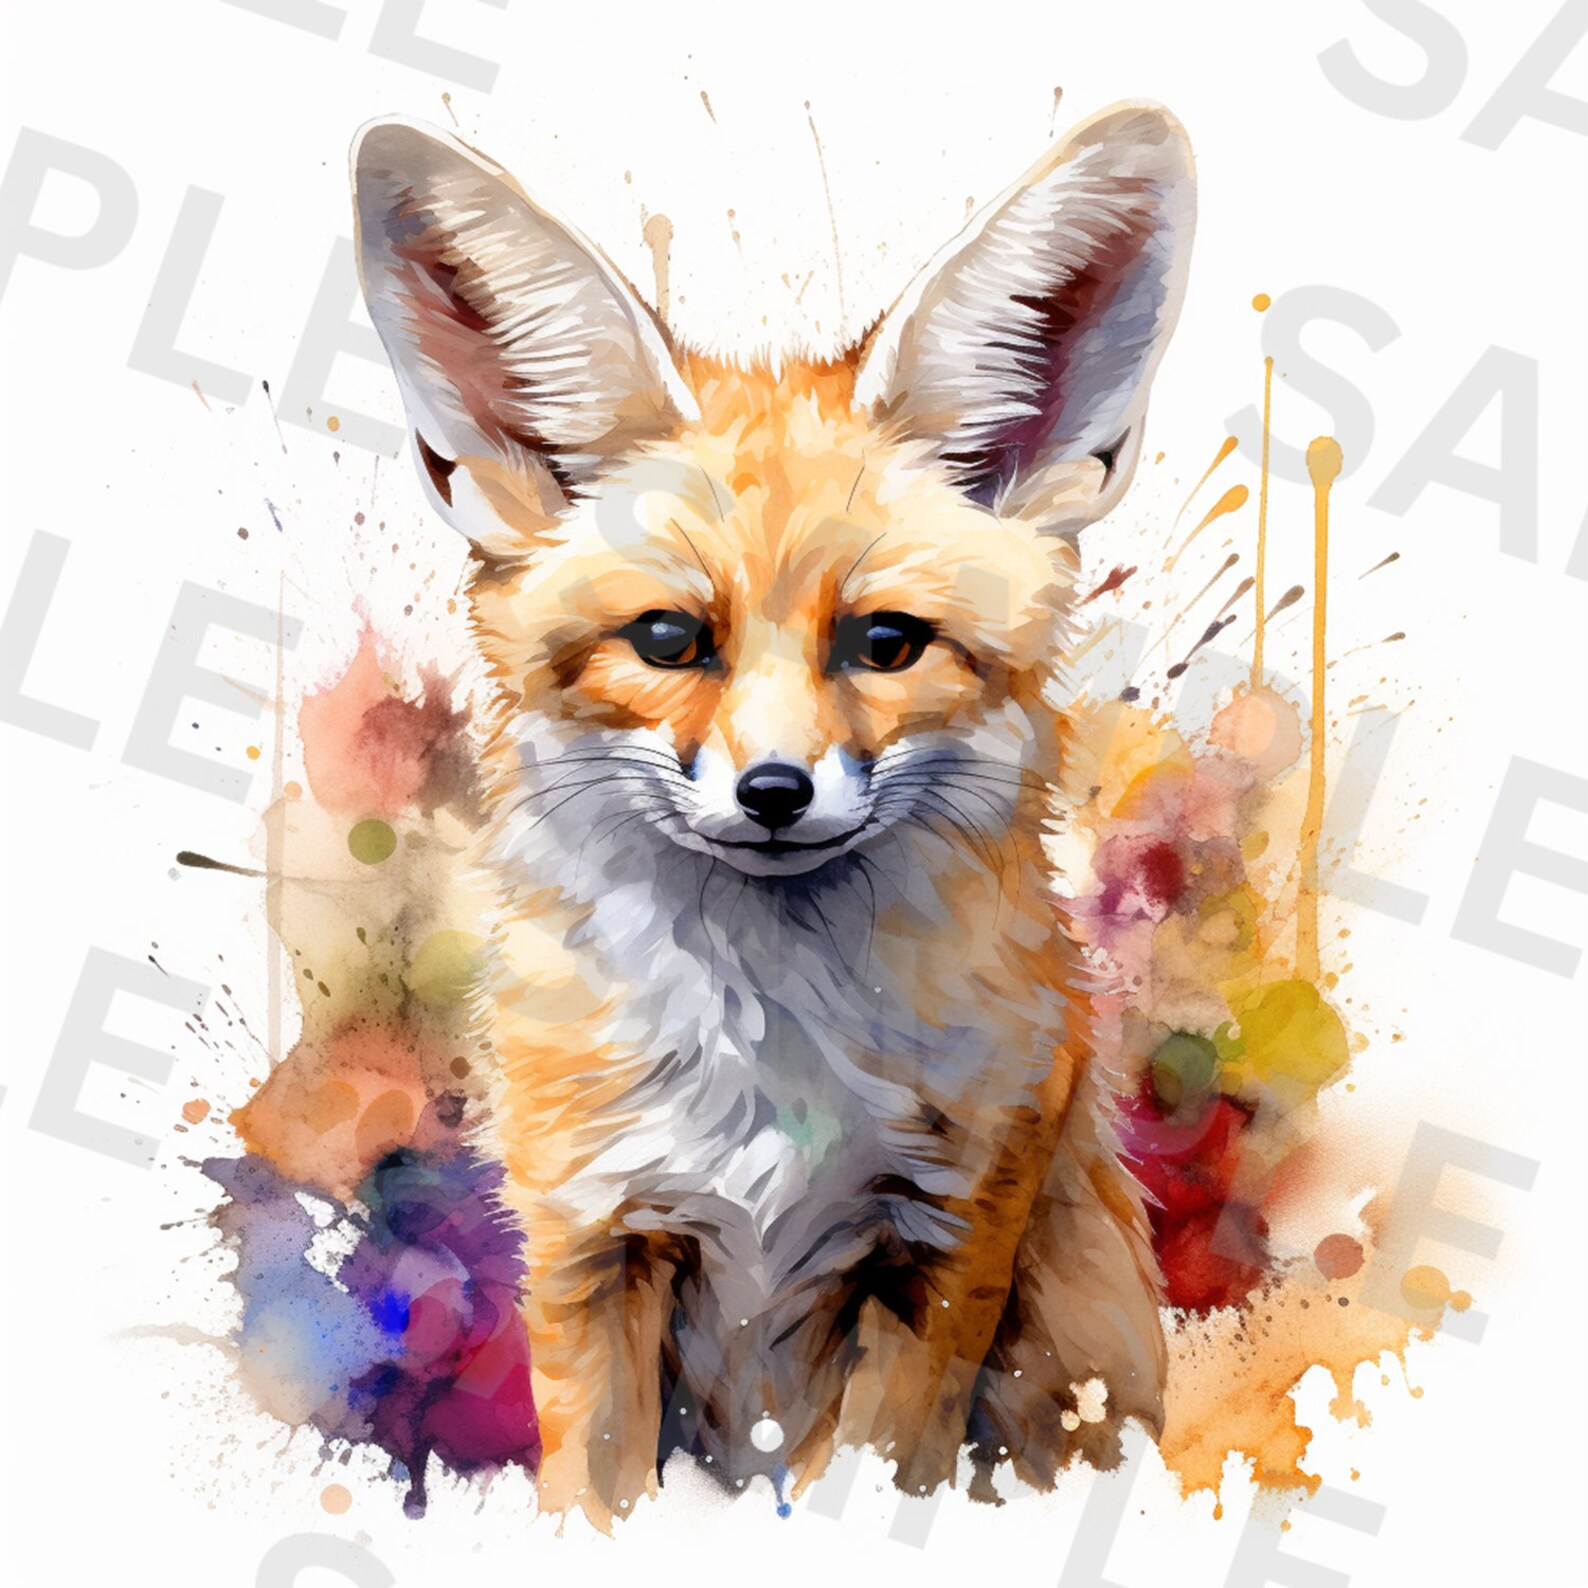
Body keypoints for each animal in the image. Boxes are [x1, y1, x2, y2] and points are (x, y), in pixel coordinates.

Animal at [351, 102, 1194, 1526]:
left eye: (887, 643)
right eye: (668, 639)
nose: (774, 793)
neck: (767, 1073)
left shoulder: (941, 1251)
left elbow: (873, 1478)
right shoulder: (593, 1245)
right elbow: (595, 1493)